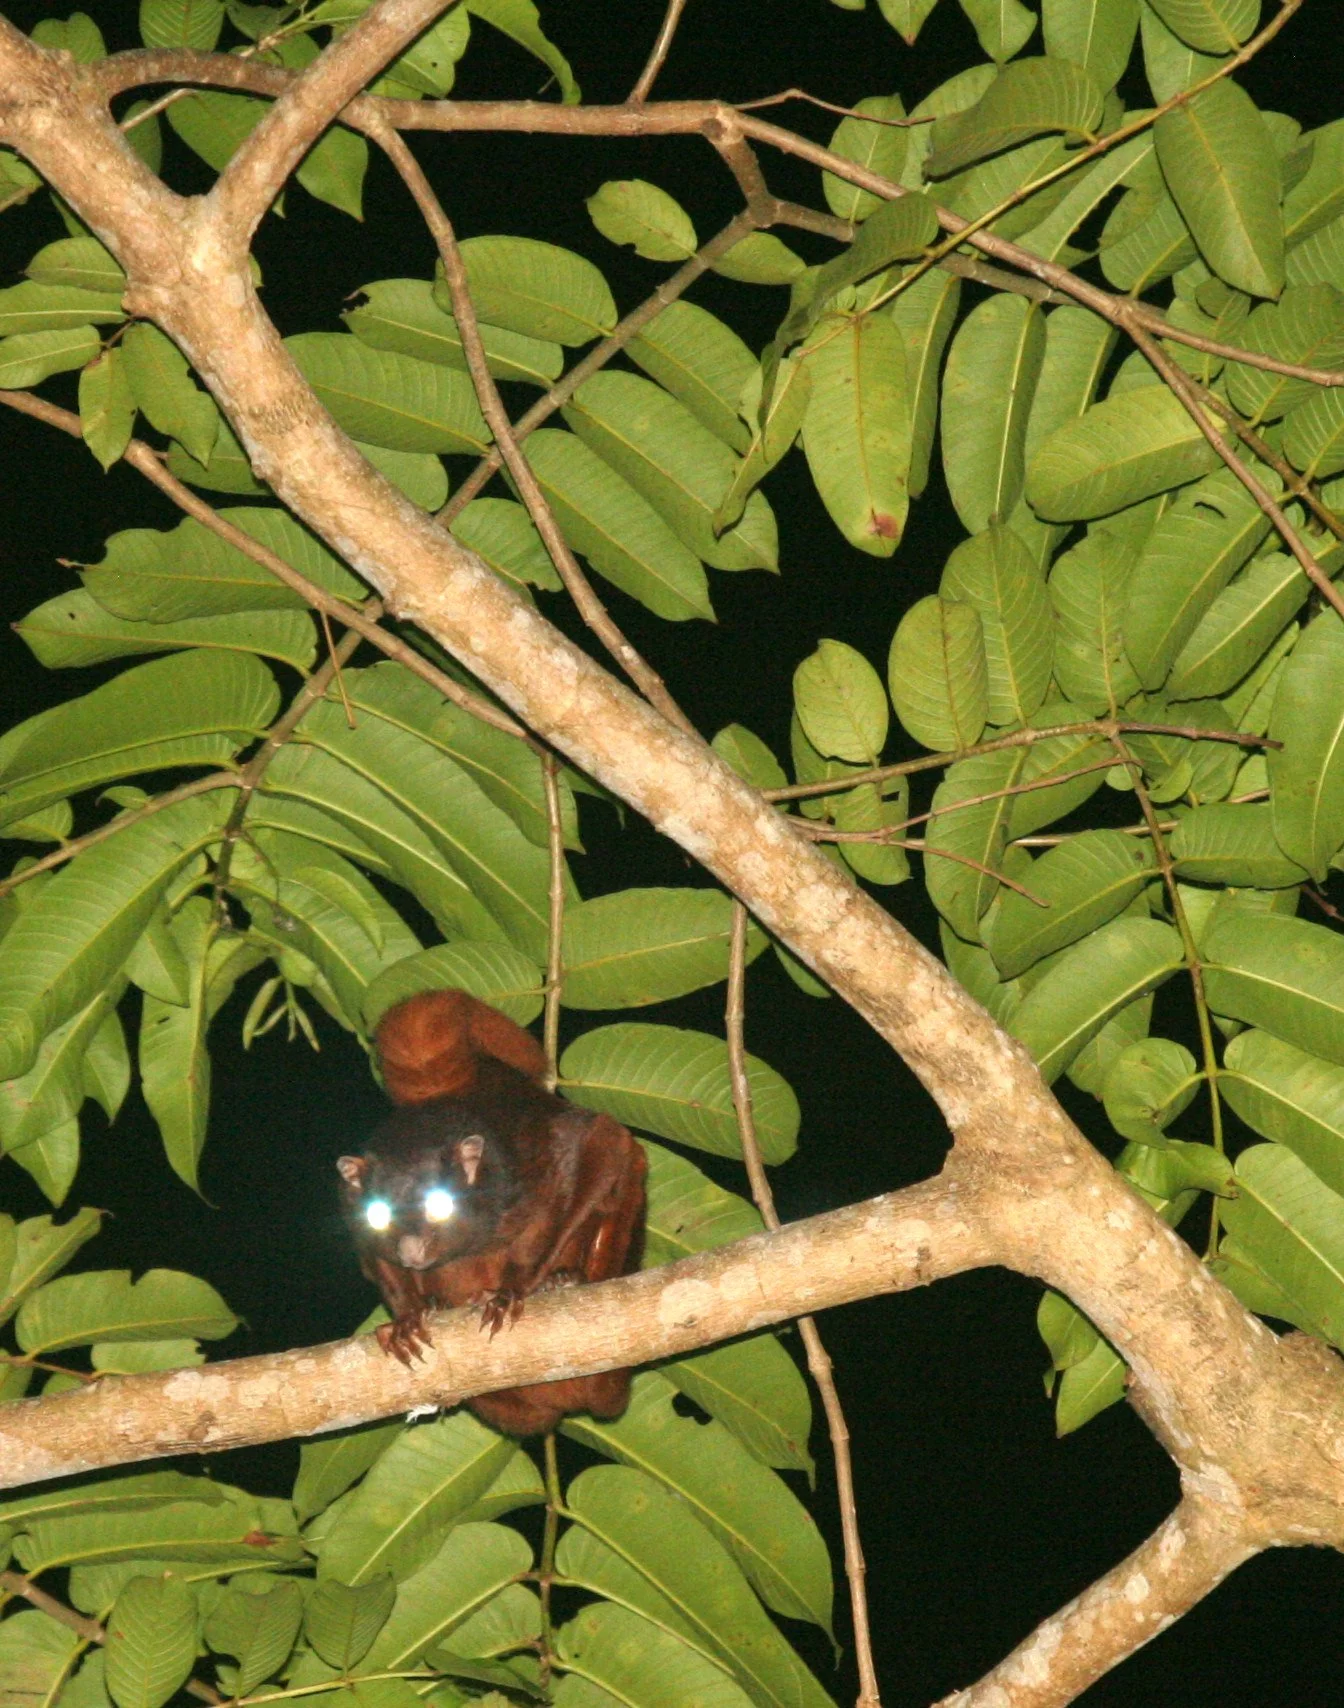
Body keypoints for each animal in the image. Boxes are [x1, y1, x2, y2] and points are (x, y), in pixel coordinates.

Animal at [338, 988, 647, 1436]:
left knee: (623, 1160)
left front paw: (511, 1292)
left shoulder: (529, 1167)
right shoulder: (350, 1207)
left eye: (439, 1204)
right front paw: (408, 1318)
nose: (411, 1251)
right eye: (379, 1215)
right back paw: (438, 1306)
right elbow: (375, 1260)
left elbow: (592, 1159)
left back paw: (565, 1281)